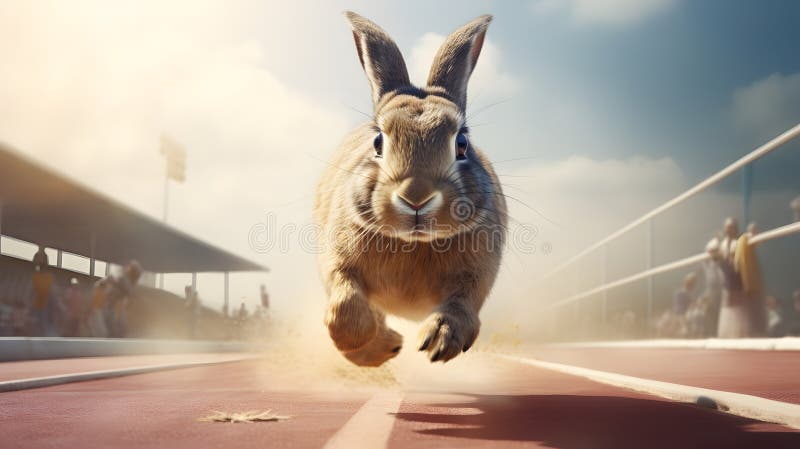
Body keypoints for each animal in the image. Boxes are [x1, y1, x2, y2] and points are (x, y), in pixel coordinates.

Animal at [313, 11, 507, 366]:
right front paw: (385, 347)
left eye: (461, 143)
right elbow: (345, 314)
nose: (416, 197)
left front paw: (438, 340)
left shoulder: (478, 274)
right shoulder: (337, 262)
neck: (413, 242)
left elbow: (461, 306)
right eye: (378, 142)